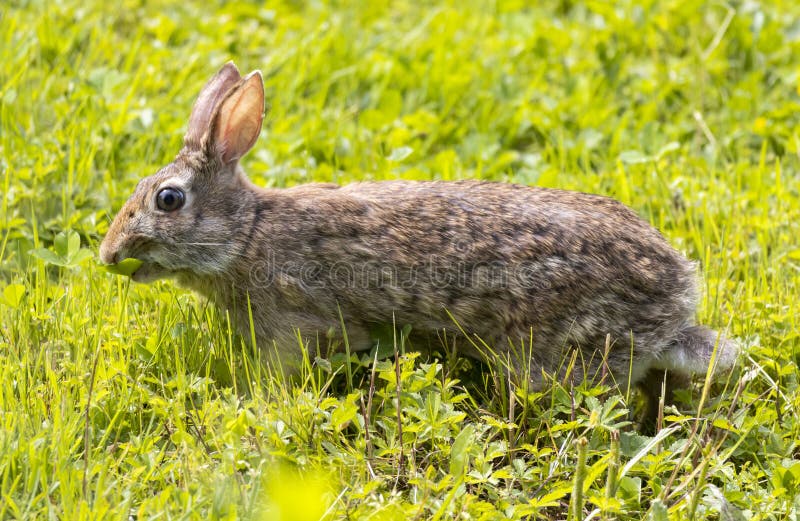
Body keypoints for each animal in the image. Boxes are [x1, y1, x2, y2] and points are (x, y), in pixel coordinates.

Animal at [99, 62, 737, 424]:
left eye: (168, 200)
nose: (109, 255)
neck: (247, 232)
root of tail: (676, 299)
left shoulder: (294, 323)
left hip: (557, 350)